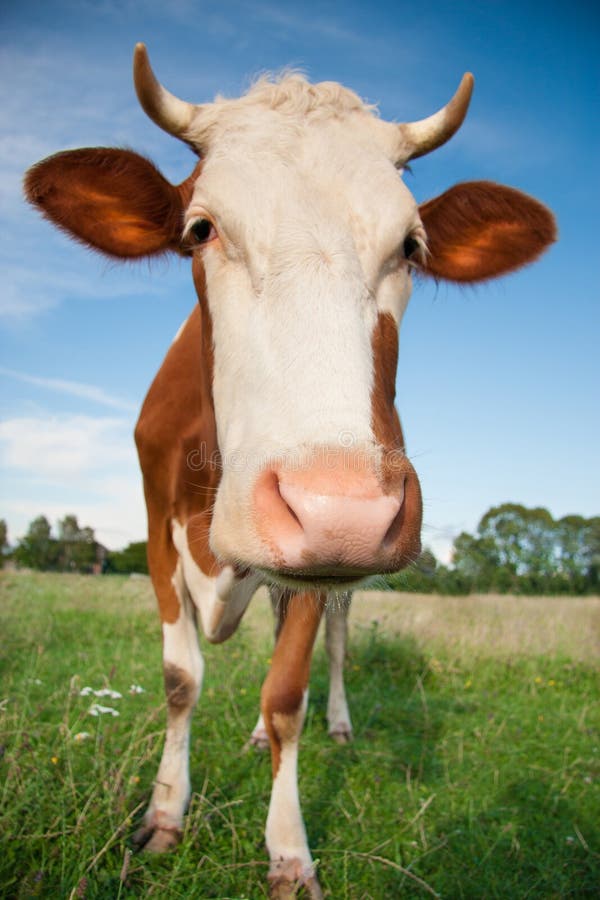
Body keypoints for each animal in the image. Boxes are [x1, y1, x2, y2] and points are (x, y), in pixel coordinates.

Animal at [24, 44, 555, 898]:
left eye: (410, 246)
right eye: (200, 228)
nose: (341, 508)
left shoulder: (322, 566)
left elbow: (286, 695)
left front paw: (289, 852)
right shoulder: (154, 530)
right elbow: (180, 679)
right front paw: (164, 814)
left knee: (329, 650)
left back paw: (337, 721)